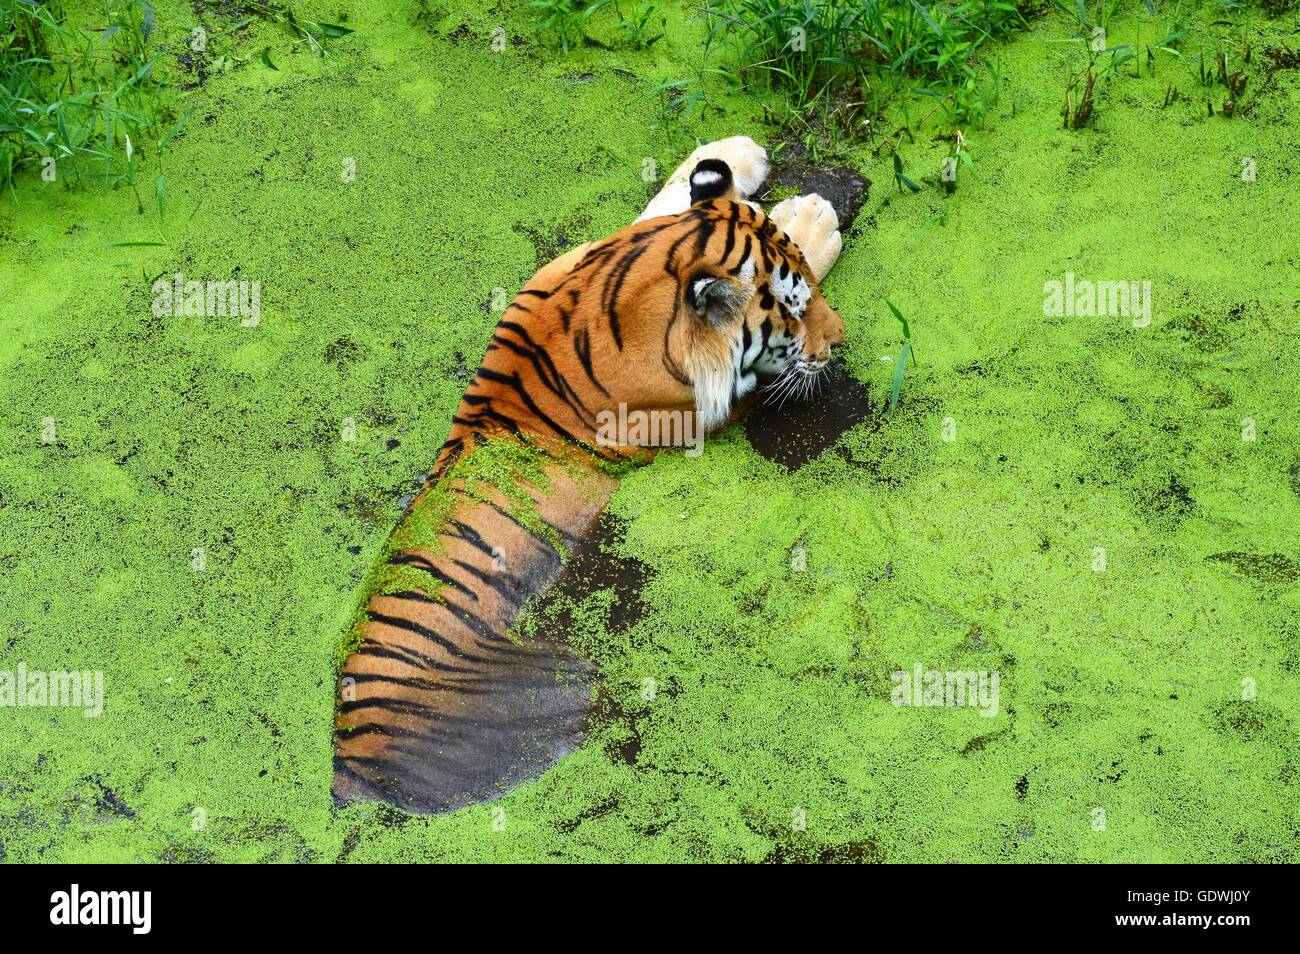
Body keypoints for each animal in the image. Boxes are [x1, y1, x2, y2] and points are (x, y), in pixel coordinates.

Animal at [332, 136, 847, 814]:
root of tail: (347, 774)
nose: (840, 339)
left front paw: (735, 156)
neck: (620, 299)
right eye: (796, 310)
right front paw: (815, 217)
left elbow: (669, 197)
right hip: (563, 688)